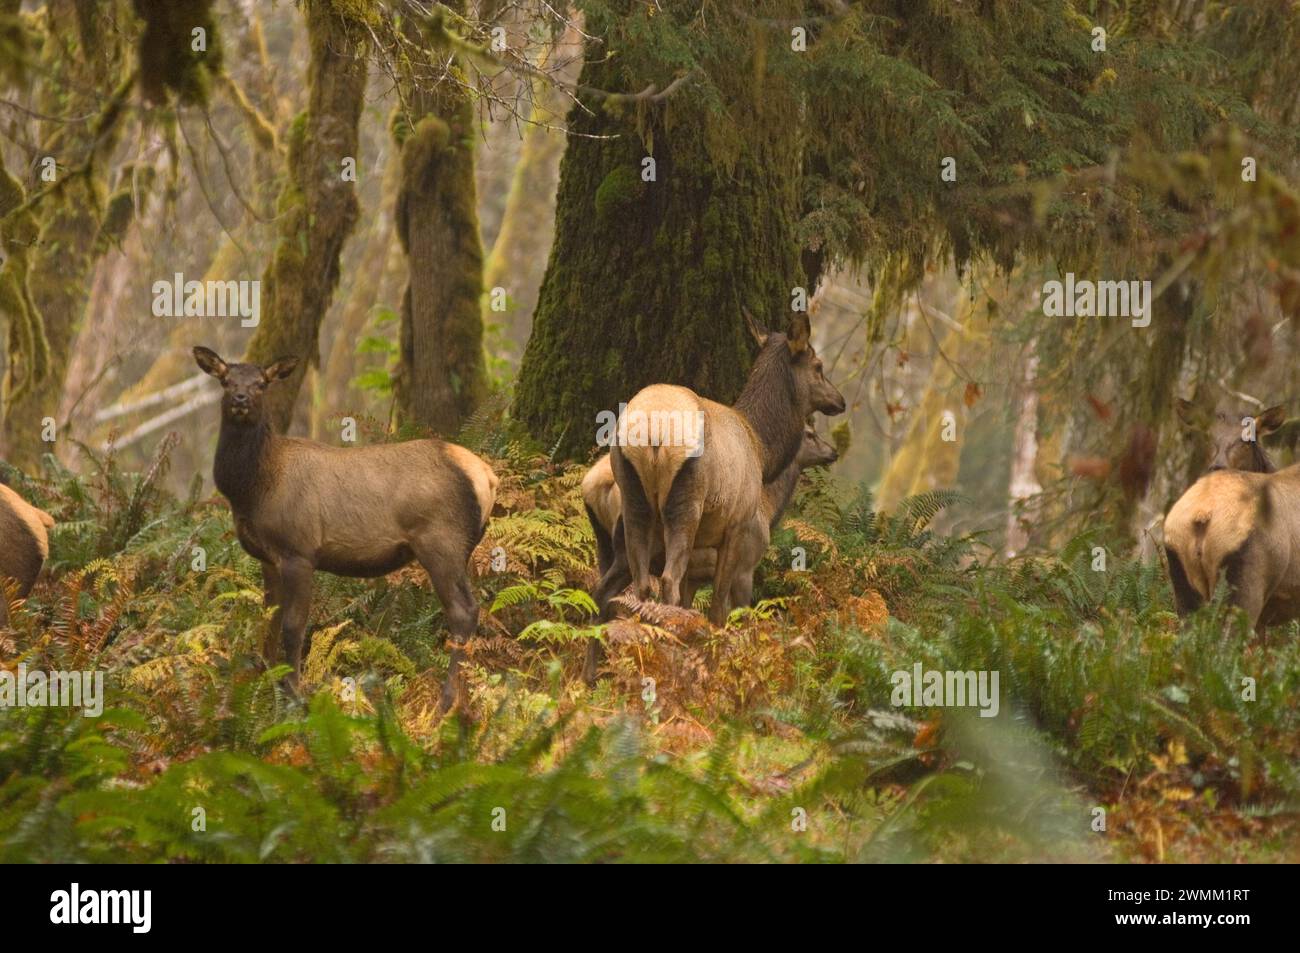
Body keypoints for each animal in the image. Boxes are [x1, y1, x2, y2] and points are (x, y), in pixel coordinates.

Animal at [193, 347, 498, 712]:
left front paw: (294, 693)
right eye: (225, 380)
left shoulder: (299, 550)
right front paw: (263, 685)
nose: (240, 398)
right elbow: (269, 620)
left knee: (463, 611)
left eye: (262, 384)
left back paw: (446, 703)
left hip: (441, 541)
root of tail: (488, 477)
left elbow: (293, 626)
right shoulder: (266, 557)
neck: (253, 490)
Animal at [609, 309, 845, 630]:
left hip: (633, 497)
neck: (762, 450)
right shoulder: (738, 525)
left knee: (640, 582)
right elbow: (721, 605)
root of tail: (653, 429)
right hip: (686, 503)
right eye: (818, 366)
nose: (840, 400)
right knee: (668, 579)